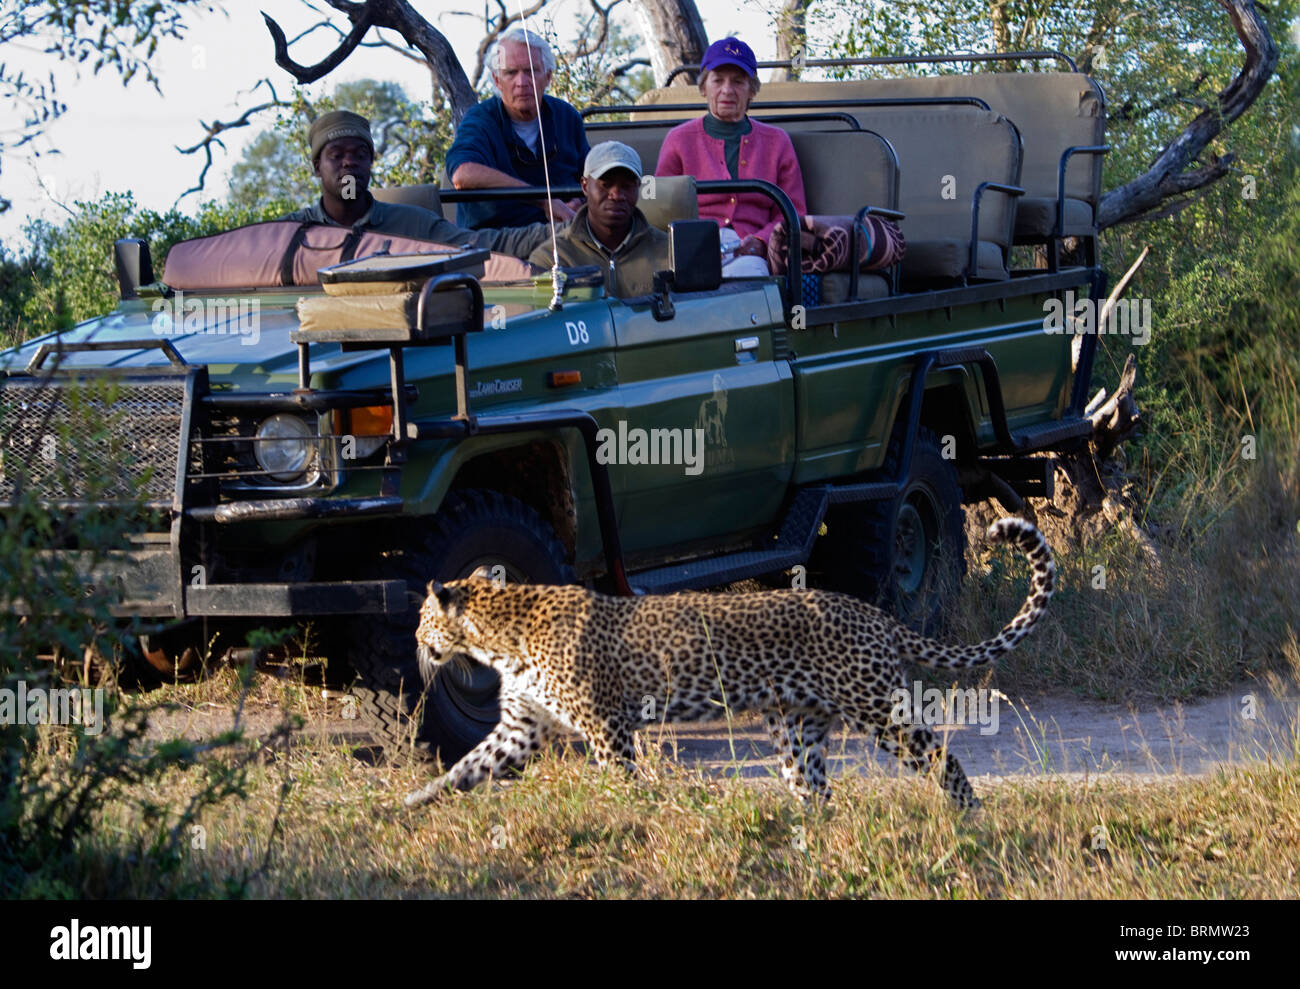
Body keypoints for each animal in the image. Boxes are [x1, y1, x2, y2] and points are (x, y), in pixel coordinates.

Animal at [404, 517, 1054, 810]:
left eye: (421, 621)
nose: (414, 643)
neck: (496, 638)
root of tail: (871, 612)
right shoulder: (520, 726)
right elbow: (466, 767)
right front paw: (411, 804)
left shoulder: (606, 725)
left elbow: (621, 778)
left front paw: (634, 816)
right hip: (797, 729)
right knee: (816, 791)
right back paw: (809, 836)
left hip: (879, 710)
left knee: (945, 758)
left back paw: (969, 818)